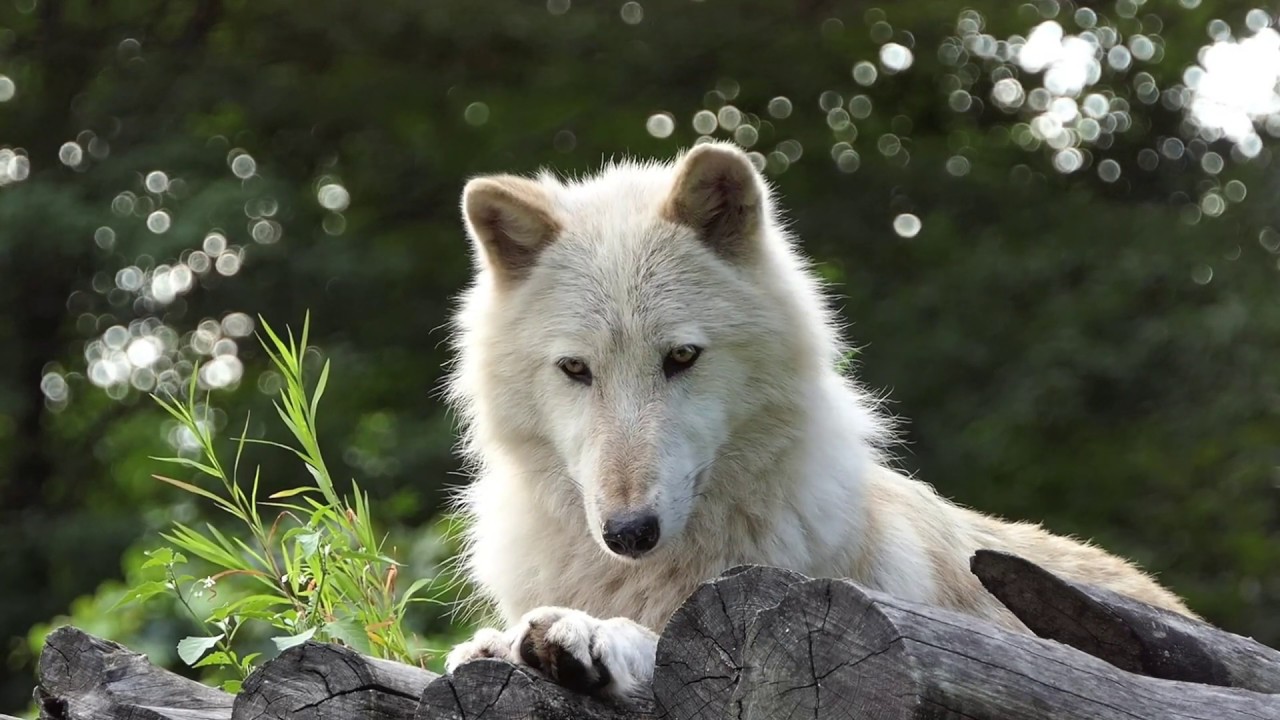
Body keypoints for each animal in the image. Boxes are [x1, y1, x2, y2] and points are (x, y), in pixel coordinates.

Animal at [441, 141, 1196, 702]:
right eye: (576, 369)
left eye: (681, 357)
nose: (629, 532)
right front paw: (495, 643)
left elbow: (669, 645)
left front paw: (590, 637)